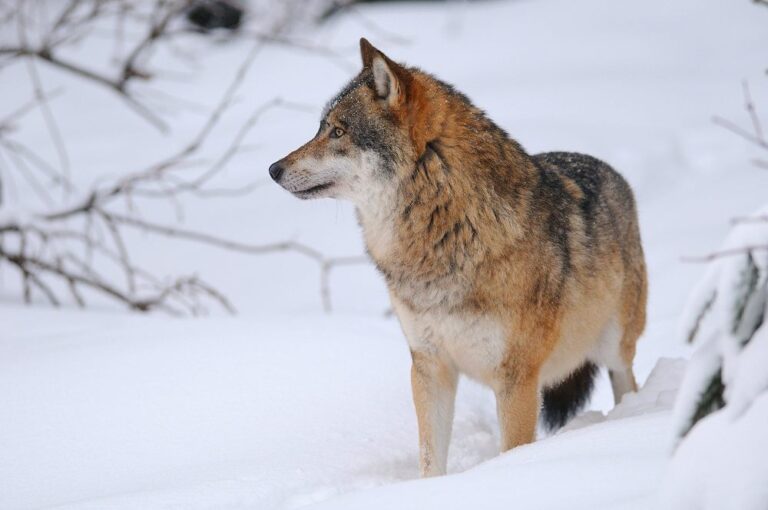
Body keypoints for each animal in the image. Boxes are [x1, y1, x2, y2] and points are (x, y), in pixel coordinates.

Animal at [269, 38, 647, 477]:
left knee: (627, 381)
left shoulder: (517, 379)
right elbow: (430, 458)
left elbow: (513, 449)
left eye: (338, 131)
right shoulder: (430, 366)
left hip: (614, 346)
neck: (447, 232)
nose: (273, 169)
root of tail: (609, 170)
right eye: (321, 128)